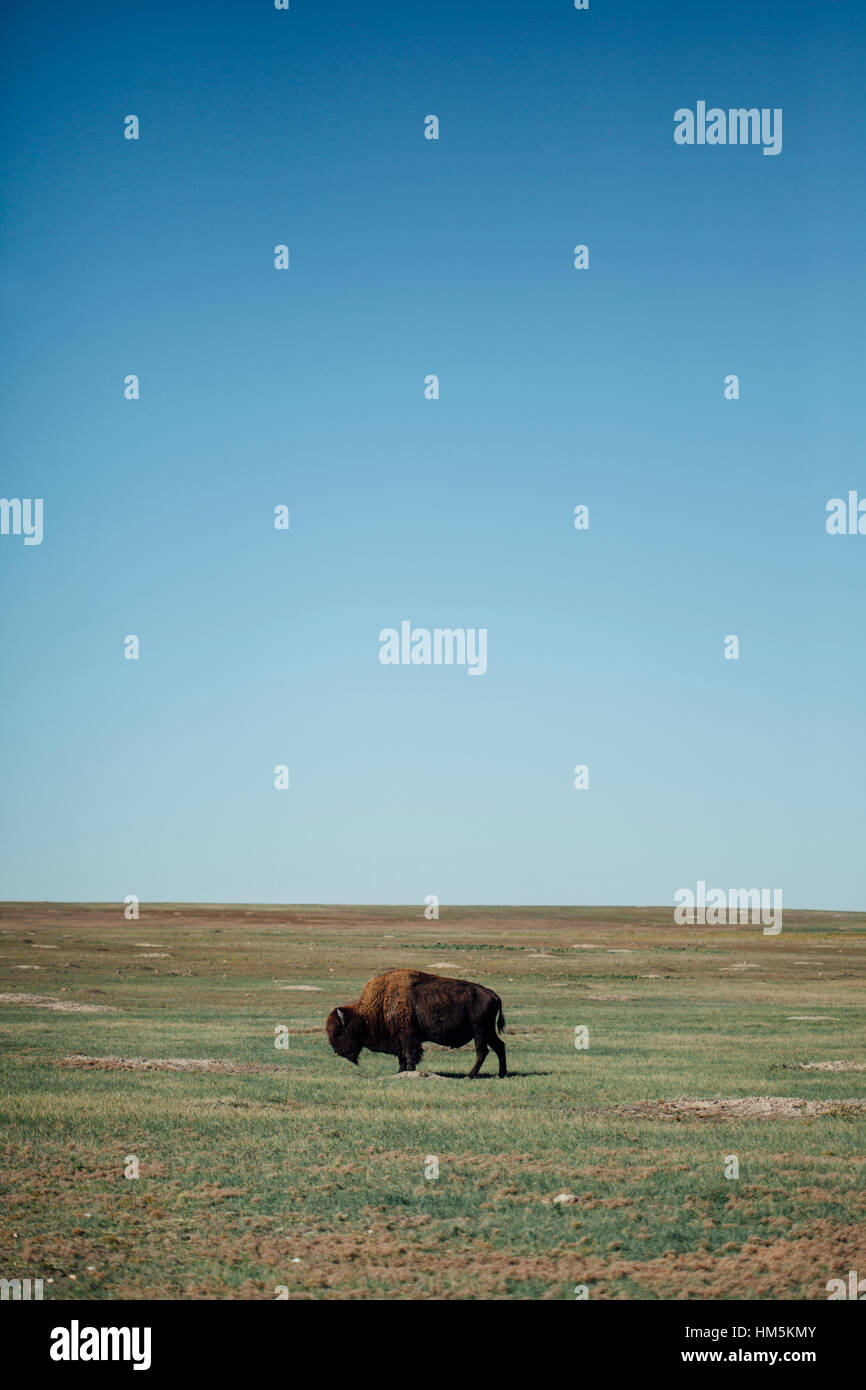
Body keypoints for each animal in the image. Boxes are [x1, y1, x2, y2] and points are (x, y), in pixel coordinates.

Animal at [326, 968, 507, 1077]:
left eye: (340, 1031)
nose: (336, 1050)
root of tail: (494, 995)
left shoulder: (408, 1036)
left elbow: (409, 1055)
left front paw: (409, 1071)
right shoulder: (398, 1039)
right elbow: (401, 1057)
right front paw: (400, 1072)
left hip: (479, 1030)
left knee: (482, 1051)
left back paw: (469, 1076)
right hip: (488, 1031)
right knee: (499, 1046)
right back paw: (501, 1074)